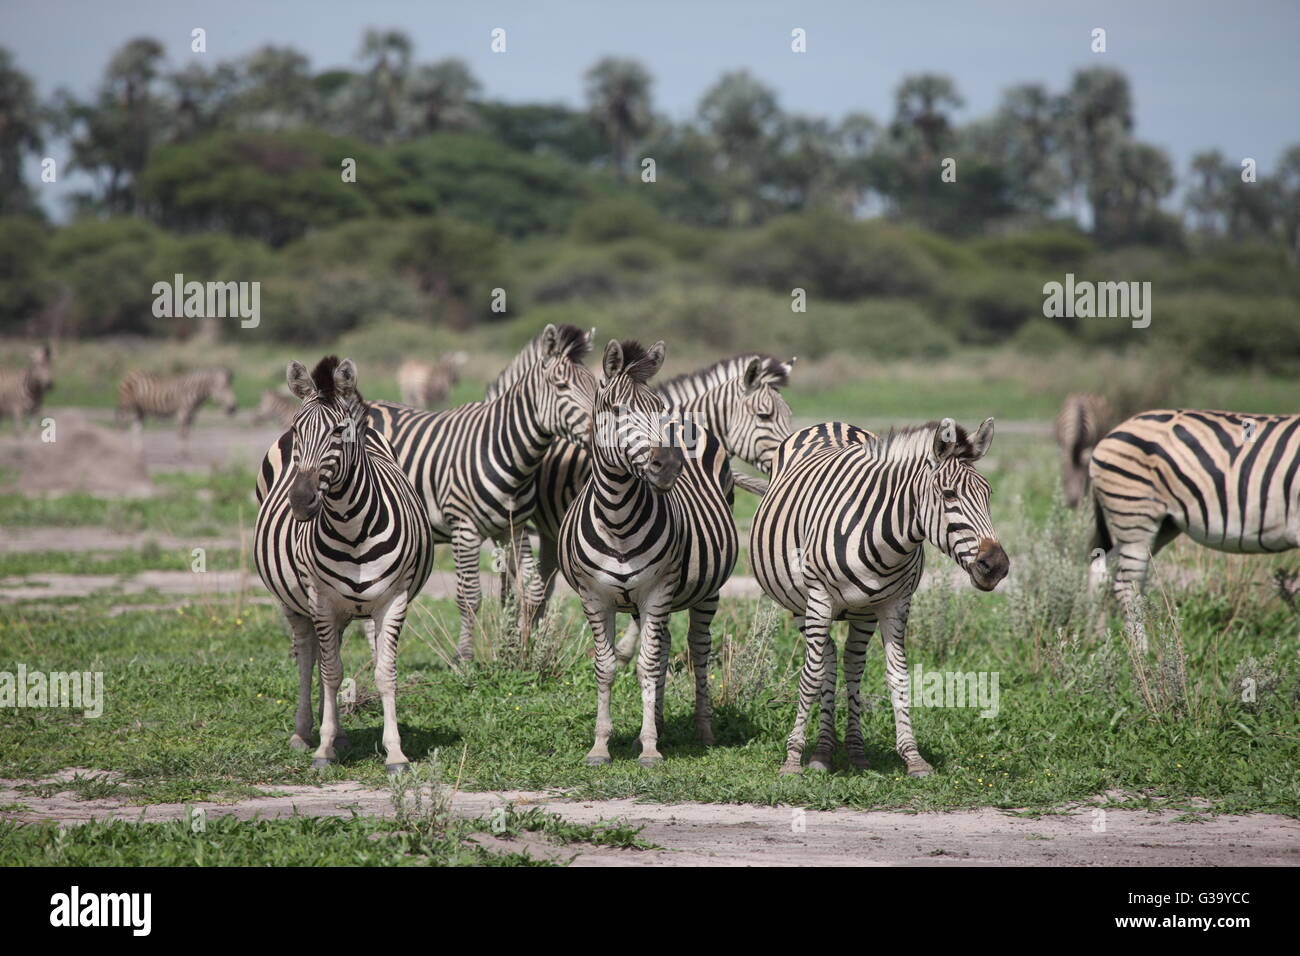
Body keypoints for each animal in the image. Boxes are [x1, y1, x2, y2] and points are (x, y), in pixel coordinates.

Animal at [253, 356, 434, 773]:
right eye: (297, 430)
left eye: (339, 431)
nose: (301, 502)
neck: (351, 528)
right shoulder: (319, 599)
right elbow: (331, 672)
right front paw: (322, 750)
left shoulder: (394, 600)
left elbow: (385, 673)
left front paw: (395, 753)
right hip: (294, 601)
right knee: (308, 657)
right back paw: (306, 733)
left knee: (325, 654)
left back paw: (337, 733)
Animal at [256, 324, 596, 661]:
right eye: (562, 386)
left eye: (594, 384)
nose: (598, 432)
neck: (504, 447)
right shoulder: (464, 528)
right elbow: (470, 596)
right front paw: (465, 657)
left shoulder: (514, 528)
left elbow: (531, 589)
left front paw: (523, 651)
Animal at [559, 339, 739, 767]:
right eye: (616, 409)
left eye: (658, 408)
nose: (670, 464)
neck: (618, 519)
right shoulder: (595, 597)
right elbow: (608, 666)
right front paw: (601, 746)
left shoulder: (657, 591)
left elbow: (646, 665)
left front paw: (651, 748)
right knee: (665, 647)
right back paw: (657, 718)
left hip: (706, 591)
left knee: (697, 649)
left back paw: (702, 731)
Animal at [750, 419, 1009, 776]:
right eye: (948, 494)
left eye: (988, 494)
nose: (996, 566)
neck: (885, 536)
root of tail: (830, 423)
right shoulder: (818, 598)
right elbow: (810, 677)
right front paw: (792, 760)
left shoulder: (895, 604)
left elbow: (897, 674)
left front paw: (913, 757)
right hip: (801, 605)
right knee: (824, 661)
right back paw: (821, 752)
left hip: (862, 612)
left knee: (849, 663)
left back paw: (849, 751)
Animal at [1088, 408, 1300, 643]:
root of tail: (1114, 431)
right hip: (1136, 515)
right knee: (1126, 585)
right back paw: (1141, 650)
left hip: (1161, 525)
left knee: (1101, 568)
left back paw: (1097, 640)